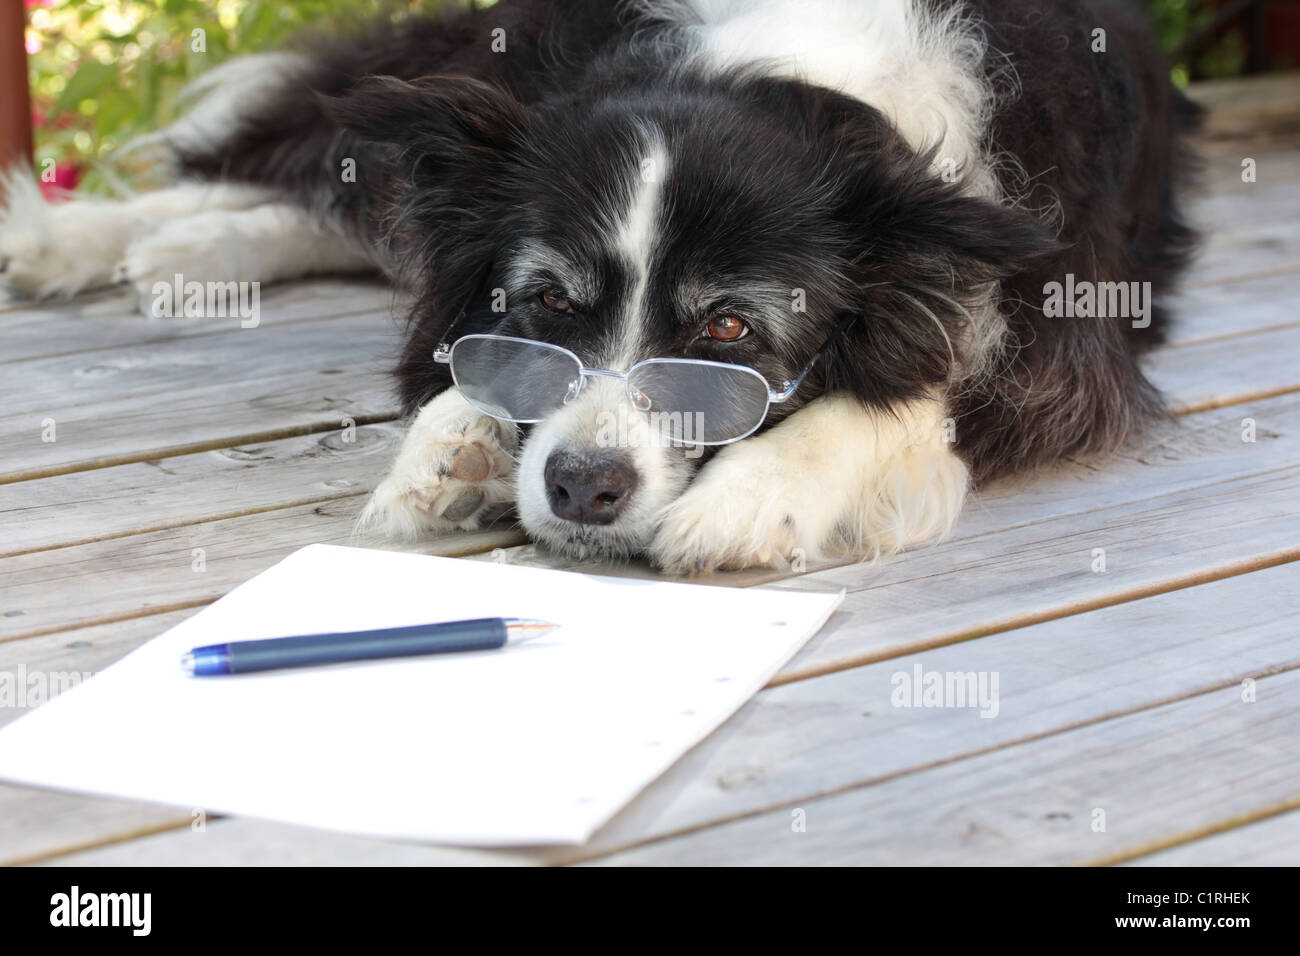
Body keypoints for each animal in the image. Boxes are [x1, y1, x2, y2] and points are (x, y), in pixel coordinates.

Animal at [0, 1, 1196, 574]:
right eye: (546, 304)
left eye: (729, 327)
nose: (581, 489)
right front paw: (451, 443)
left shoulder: (1057, 334)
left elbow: (912, 388)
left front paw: (750, 494)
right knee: (304, 159)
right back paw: (90, 239)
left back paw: (189, 254)